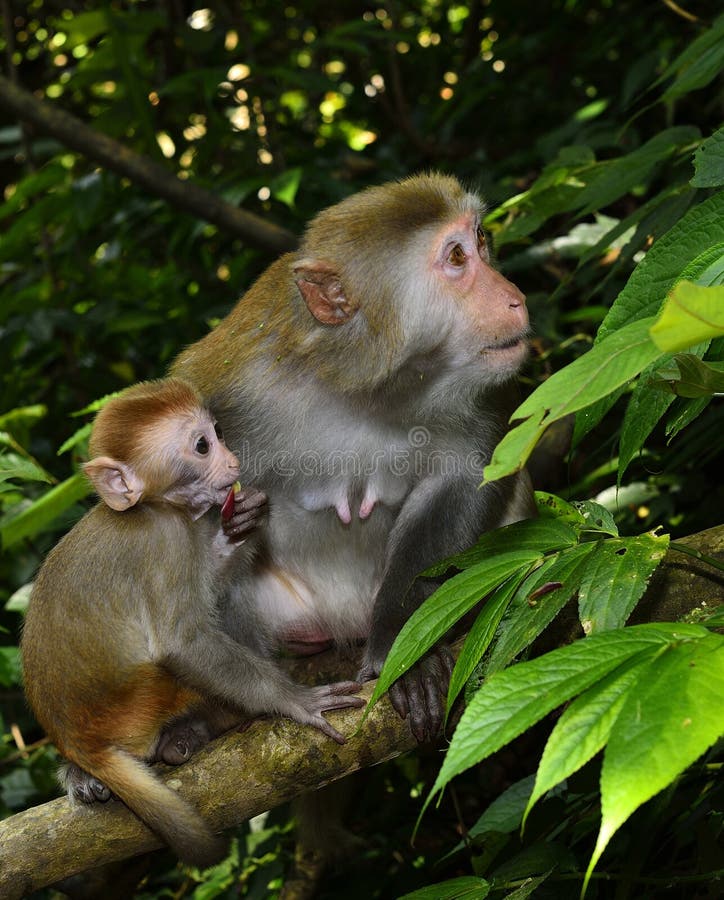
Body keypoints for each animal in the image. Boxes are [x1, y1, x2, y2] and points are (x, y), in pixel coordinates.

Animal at [21, 378, 364, 867]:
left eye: (218, 433)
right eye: (203, 446)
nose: (234, 459)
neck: (149, 506)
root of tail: (77, 741)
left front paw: (240, 525)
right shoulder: (165, 541)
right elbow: (182, 642)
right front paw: (295, 701)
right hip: (139, 703)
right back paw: (203, 728)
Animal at [170, 172, 535, 742]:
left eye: (481, 240)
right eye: (456, 257)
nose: (516, 299)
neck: (366, 388)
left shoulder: (481, 390)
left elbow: (463, 480)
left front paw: (404, 655)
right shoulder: (228, 391)